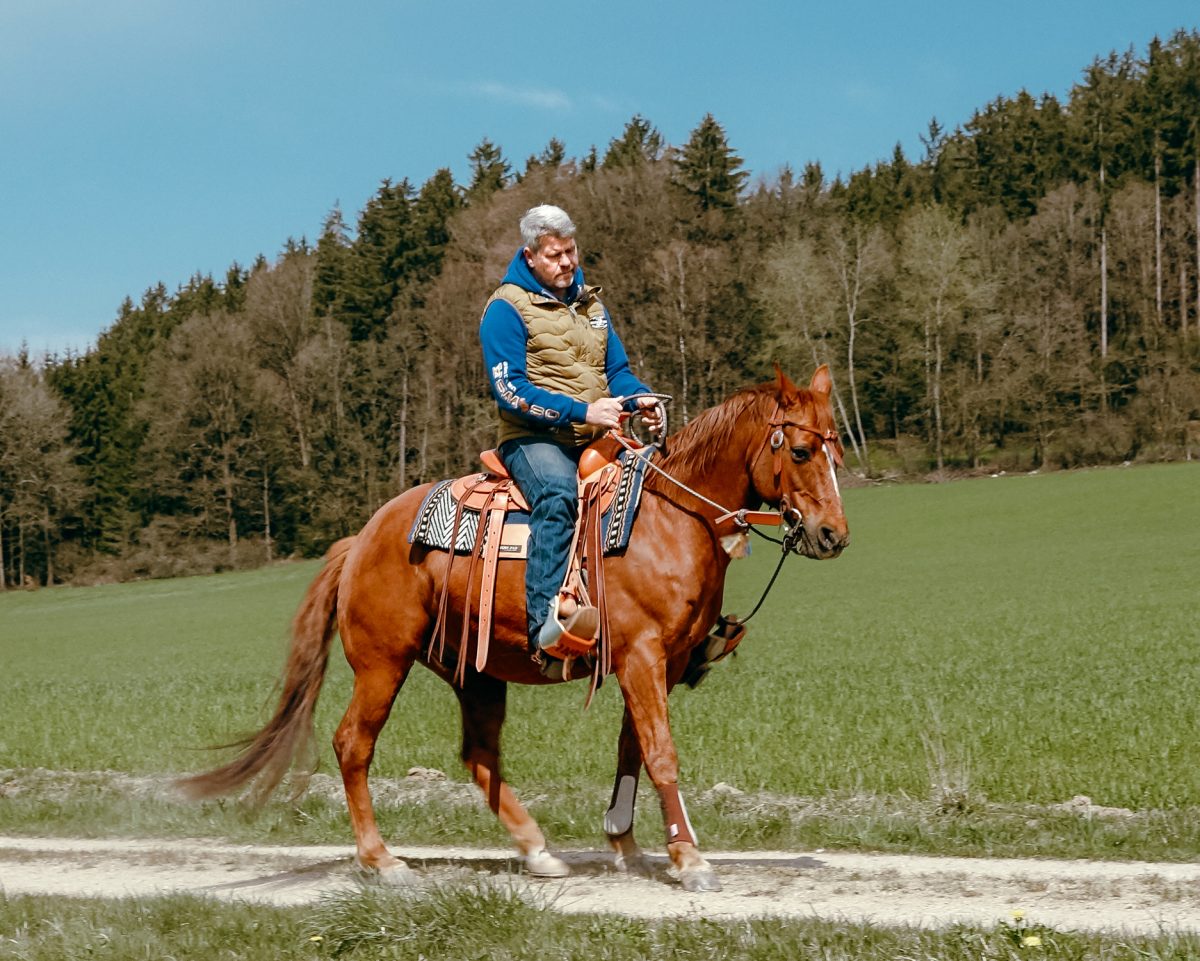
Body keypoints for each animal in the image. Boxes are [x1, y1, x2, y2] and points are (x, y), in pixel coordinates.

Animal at [179, 364, 850, 893]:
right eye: (799, 452)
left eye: (837, 450)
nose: (832, 536)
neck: (668, 520)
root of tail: (360, 538)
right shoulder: (642, 656)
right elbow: (660, 752)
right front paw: (688, 859)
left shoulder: (652, 662)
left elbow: (630, 751)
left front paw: (625, 845)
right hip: (381, 663)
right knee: (353, 745)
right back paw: (381, 859)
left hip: (474, 671)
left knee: (479, 754)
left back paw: (537, 849)